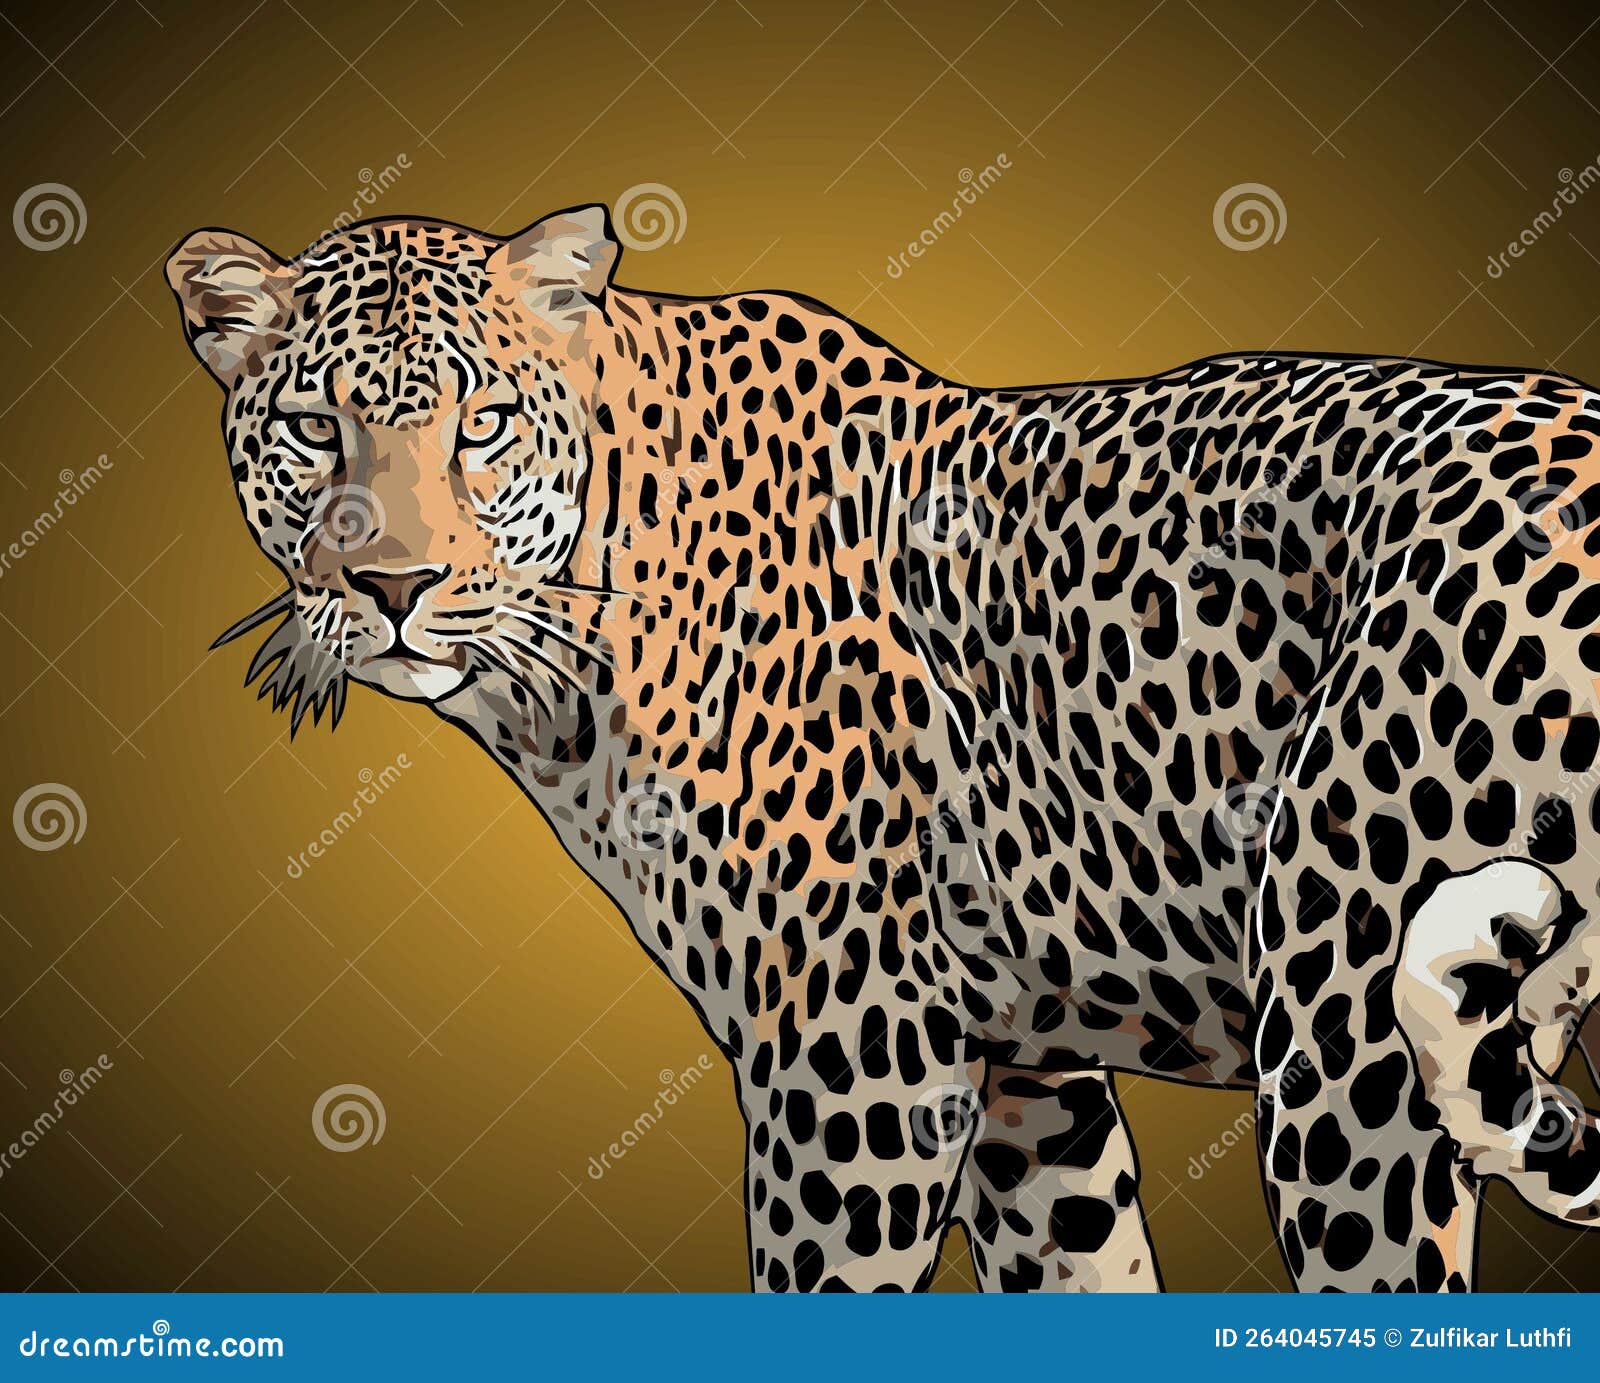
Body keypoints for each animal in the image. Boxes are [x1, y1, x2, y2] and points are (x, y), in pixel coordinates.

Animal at [167, 202, 1600, 1292]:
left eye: (483, 427)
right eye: (311, 430)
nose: (394, 585)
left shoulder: (855, 1053)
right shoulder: (1029, 1075)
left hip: (1344, 1045)